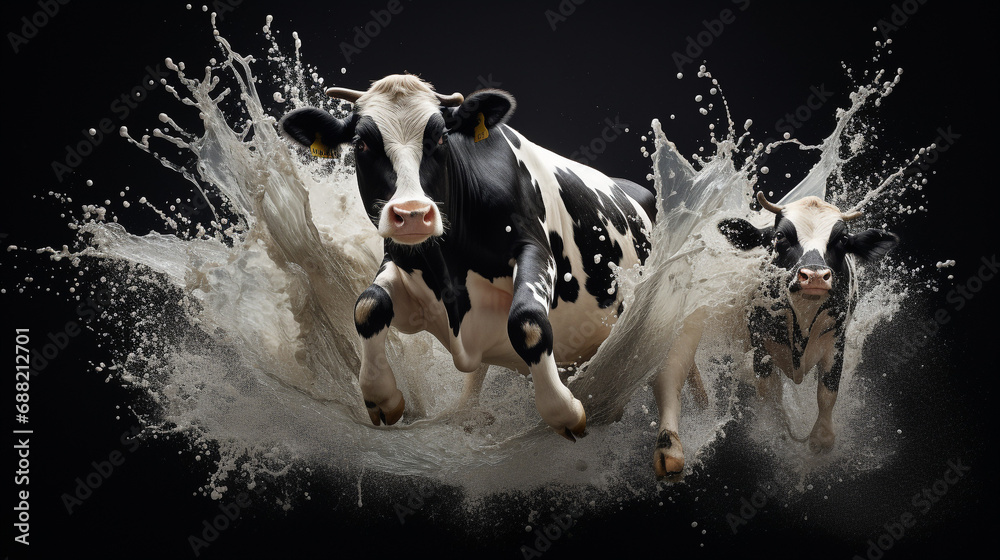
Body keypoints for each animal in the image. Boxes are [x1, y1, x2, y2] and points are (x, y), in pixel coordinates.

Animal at [278, 74, 668, 441]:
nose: (413, 214)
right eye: (362, 143)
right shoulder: (403, 260)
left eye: (440, 139)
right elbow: (368, 305)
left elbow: (527, 322)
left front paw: (563, 411)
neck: (451, 272)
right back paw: (465, 413)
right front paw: (382, 397)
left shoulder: (535, 248)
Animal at [652, 190, 898, 475]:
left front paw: (821, 440)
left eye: (842, 239)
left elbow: (827, 392)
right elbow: (770, 394)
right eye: (780, 236)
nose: (814, 276)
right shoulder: (761, 346)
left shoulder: (836, 342)